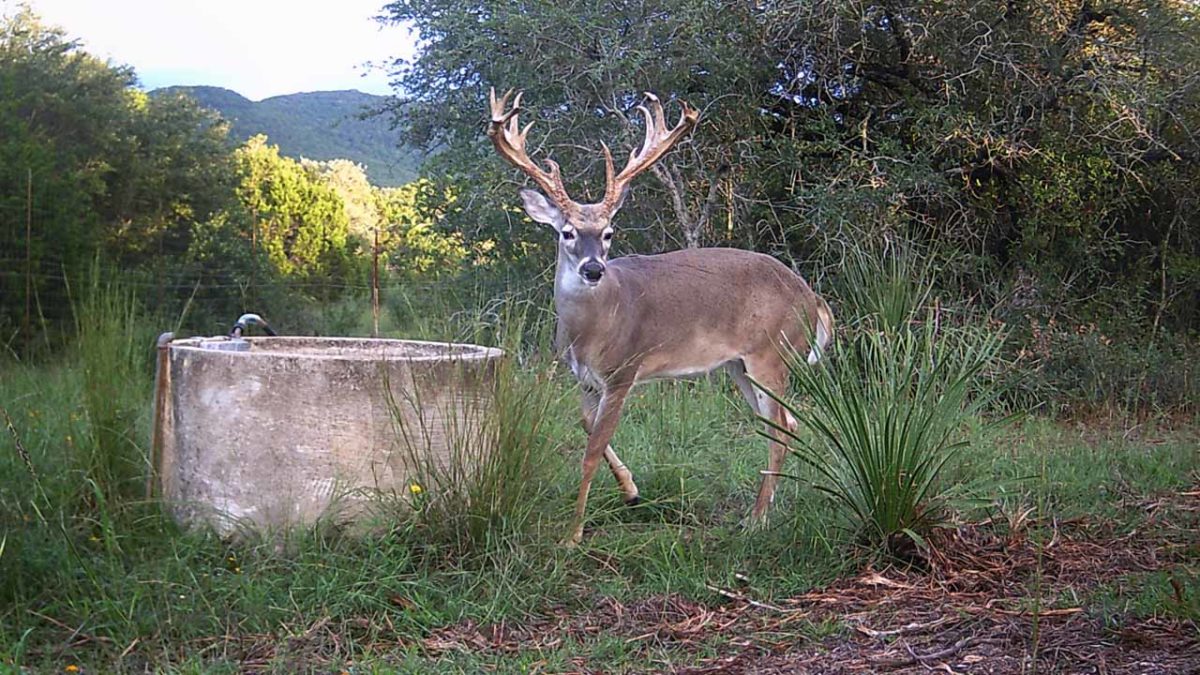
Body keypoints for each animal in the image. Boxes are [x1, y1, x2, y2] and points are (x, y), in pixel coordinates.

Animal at [487, 88, 835, 545]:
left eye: (609, 232)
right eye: (567, 232)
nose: (593, 269)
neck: (590, 331)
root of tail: (812, 298)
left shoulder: (623, 370)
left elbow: (591, 450)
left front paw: (572, 536)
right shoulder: (582, 379)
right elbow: (585, 425)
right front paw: (631, 490)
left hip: (772, 354)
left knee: (778, 428)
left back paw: (756, 519)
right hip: (740, 365)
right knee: (788, 423)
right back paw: (769, 507)